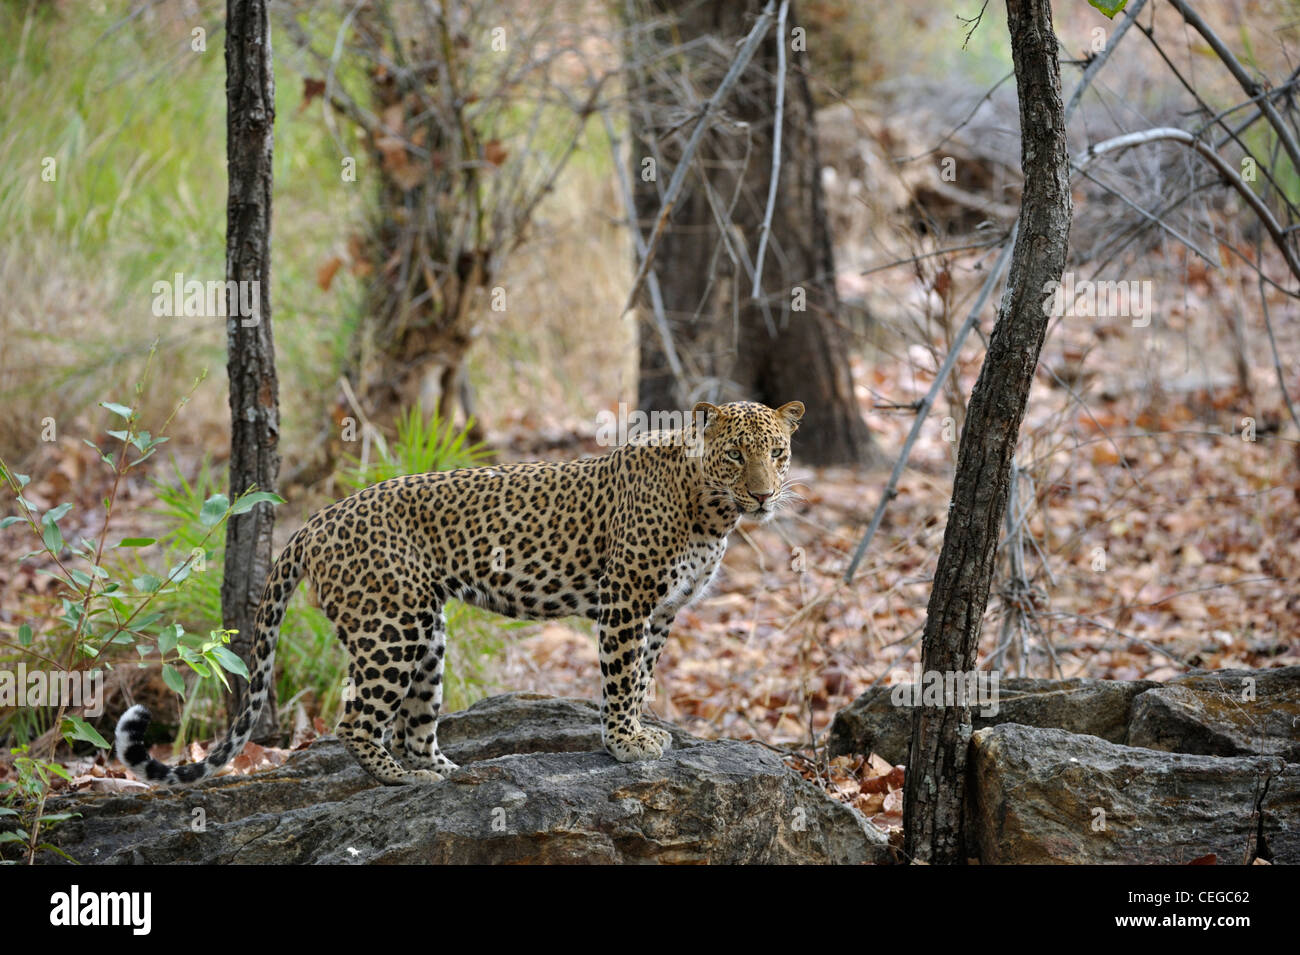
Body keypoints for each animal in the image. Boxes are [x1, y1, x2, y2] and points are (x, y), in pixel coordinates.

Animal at [115, 399, 804, 786]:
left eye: (777, 452)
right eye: (735, 456)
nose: (765, 495)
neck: (711, 512)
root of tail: (316, 521)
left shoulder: (660, 613)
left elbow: (641, 679)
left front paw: (641, 732)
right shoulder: (626, 603)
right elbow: (618, 679)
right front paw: (623, 744)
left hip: (427, 631)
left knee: (413, 723)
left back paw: (445, 771)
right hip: (391, 626)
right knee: (357, 721)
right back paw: (398, 780)